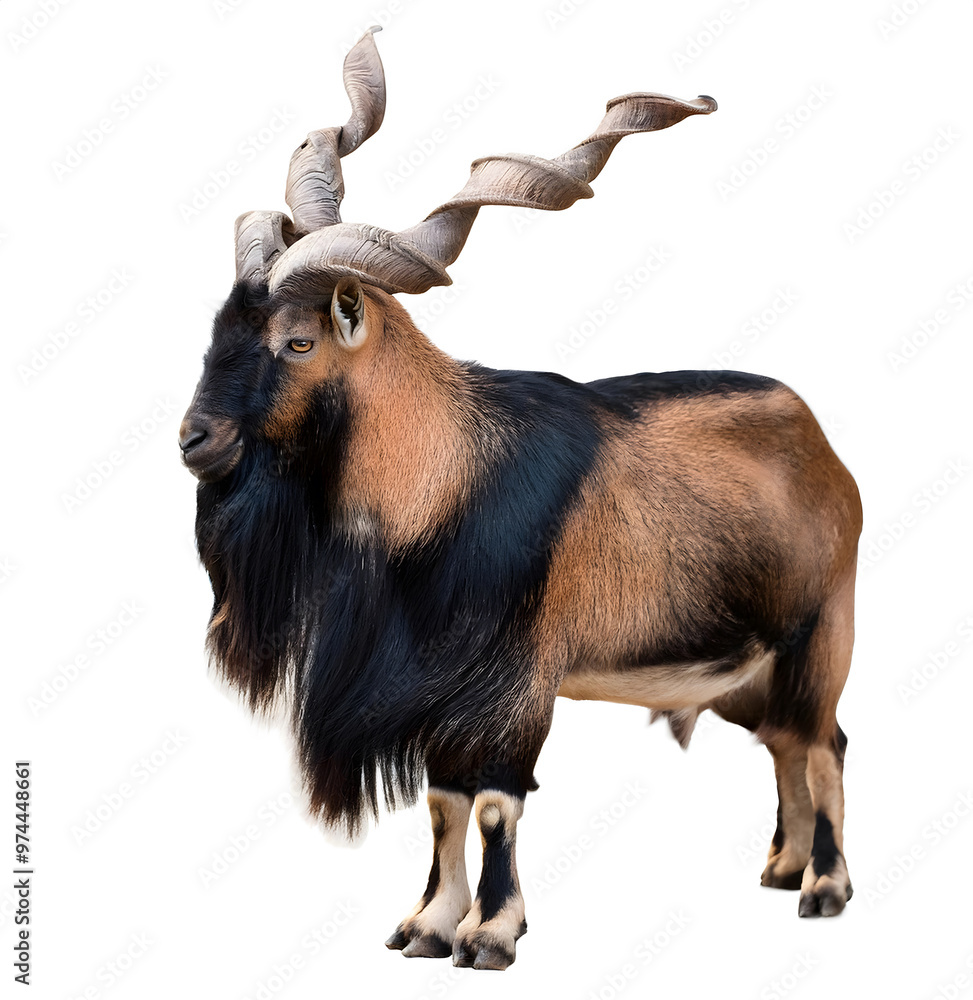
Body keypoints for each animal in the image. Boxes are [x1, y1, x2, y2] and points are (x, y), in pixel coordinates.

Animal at [180, 28, 861, 970]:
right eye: (217, 330)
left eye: (298, 341)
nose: (194, 440)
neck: (446, 476)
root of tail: (826, 453)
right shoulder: (433, 695)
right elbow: (443, 808)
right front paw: (424, 927)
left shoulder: (512, 686)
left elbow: (497, 806)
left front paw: (489, 935)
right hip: (750, 665)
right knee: (785, 744)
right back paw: (781, 865)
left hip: (820, 630)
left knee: (825, 744)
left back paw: (824, 887)